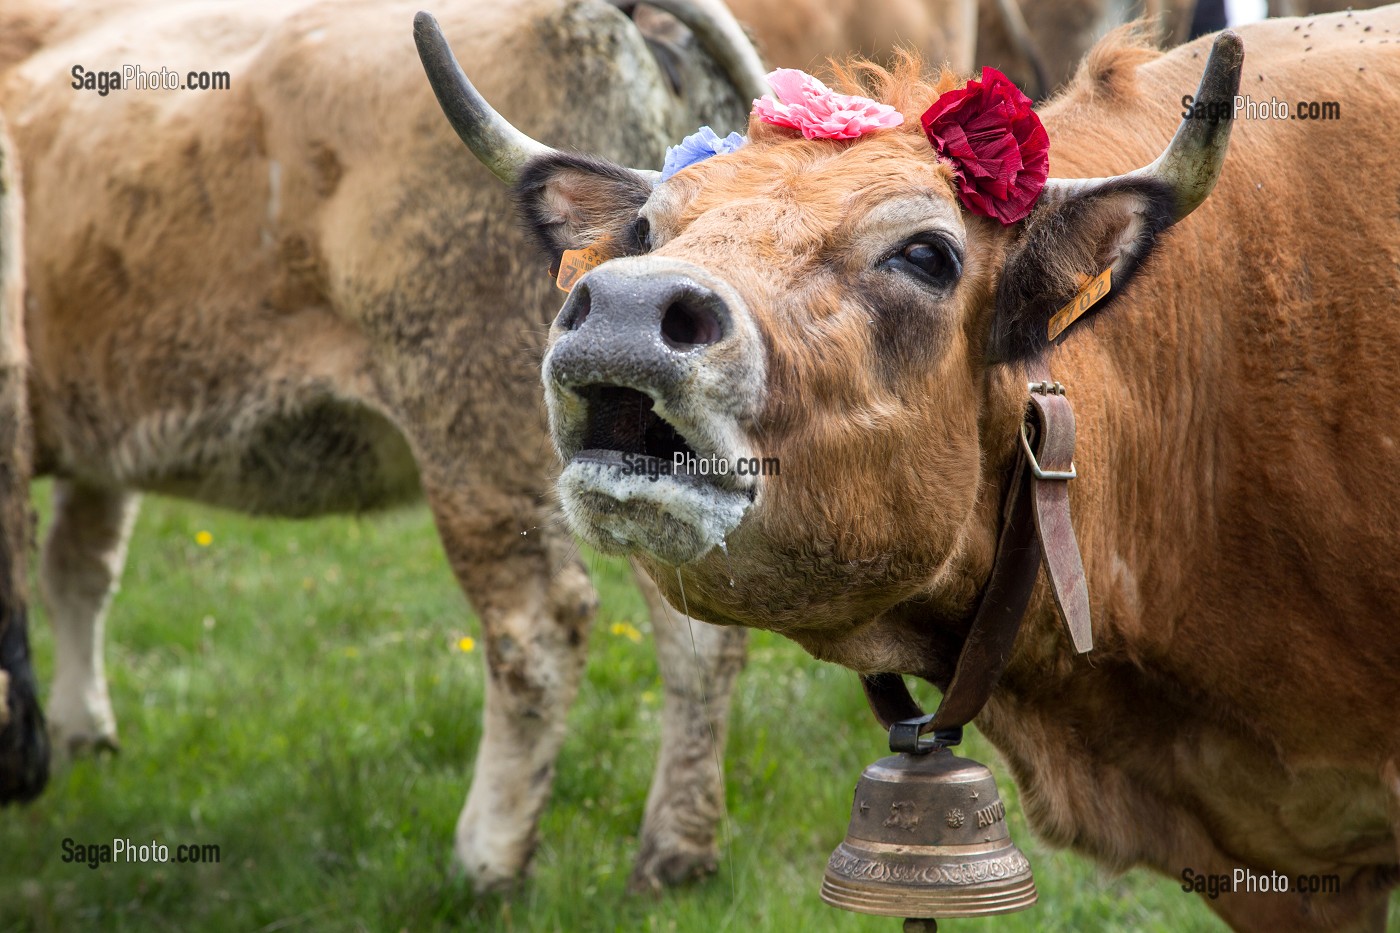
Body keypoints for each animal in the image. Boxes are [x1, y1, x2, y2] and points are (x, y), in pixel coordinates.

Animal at [0, 0, 773, 891]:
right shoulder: (102, 435)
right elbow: (80, 565)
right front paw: (84, 728)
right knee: (700, 632)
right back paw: (675, 850)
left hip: (472, 431)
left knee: (537, 627)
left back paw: (487, 858)